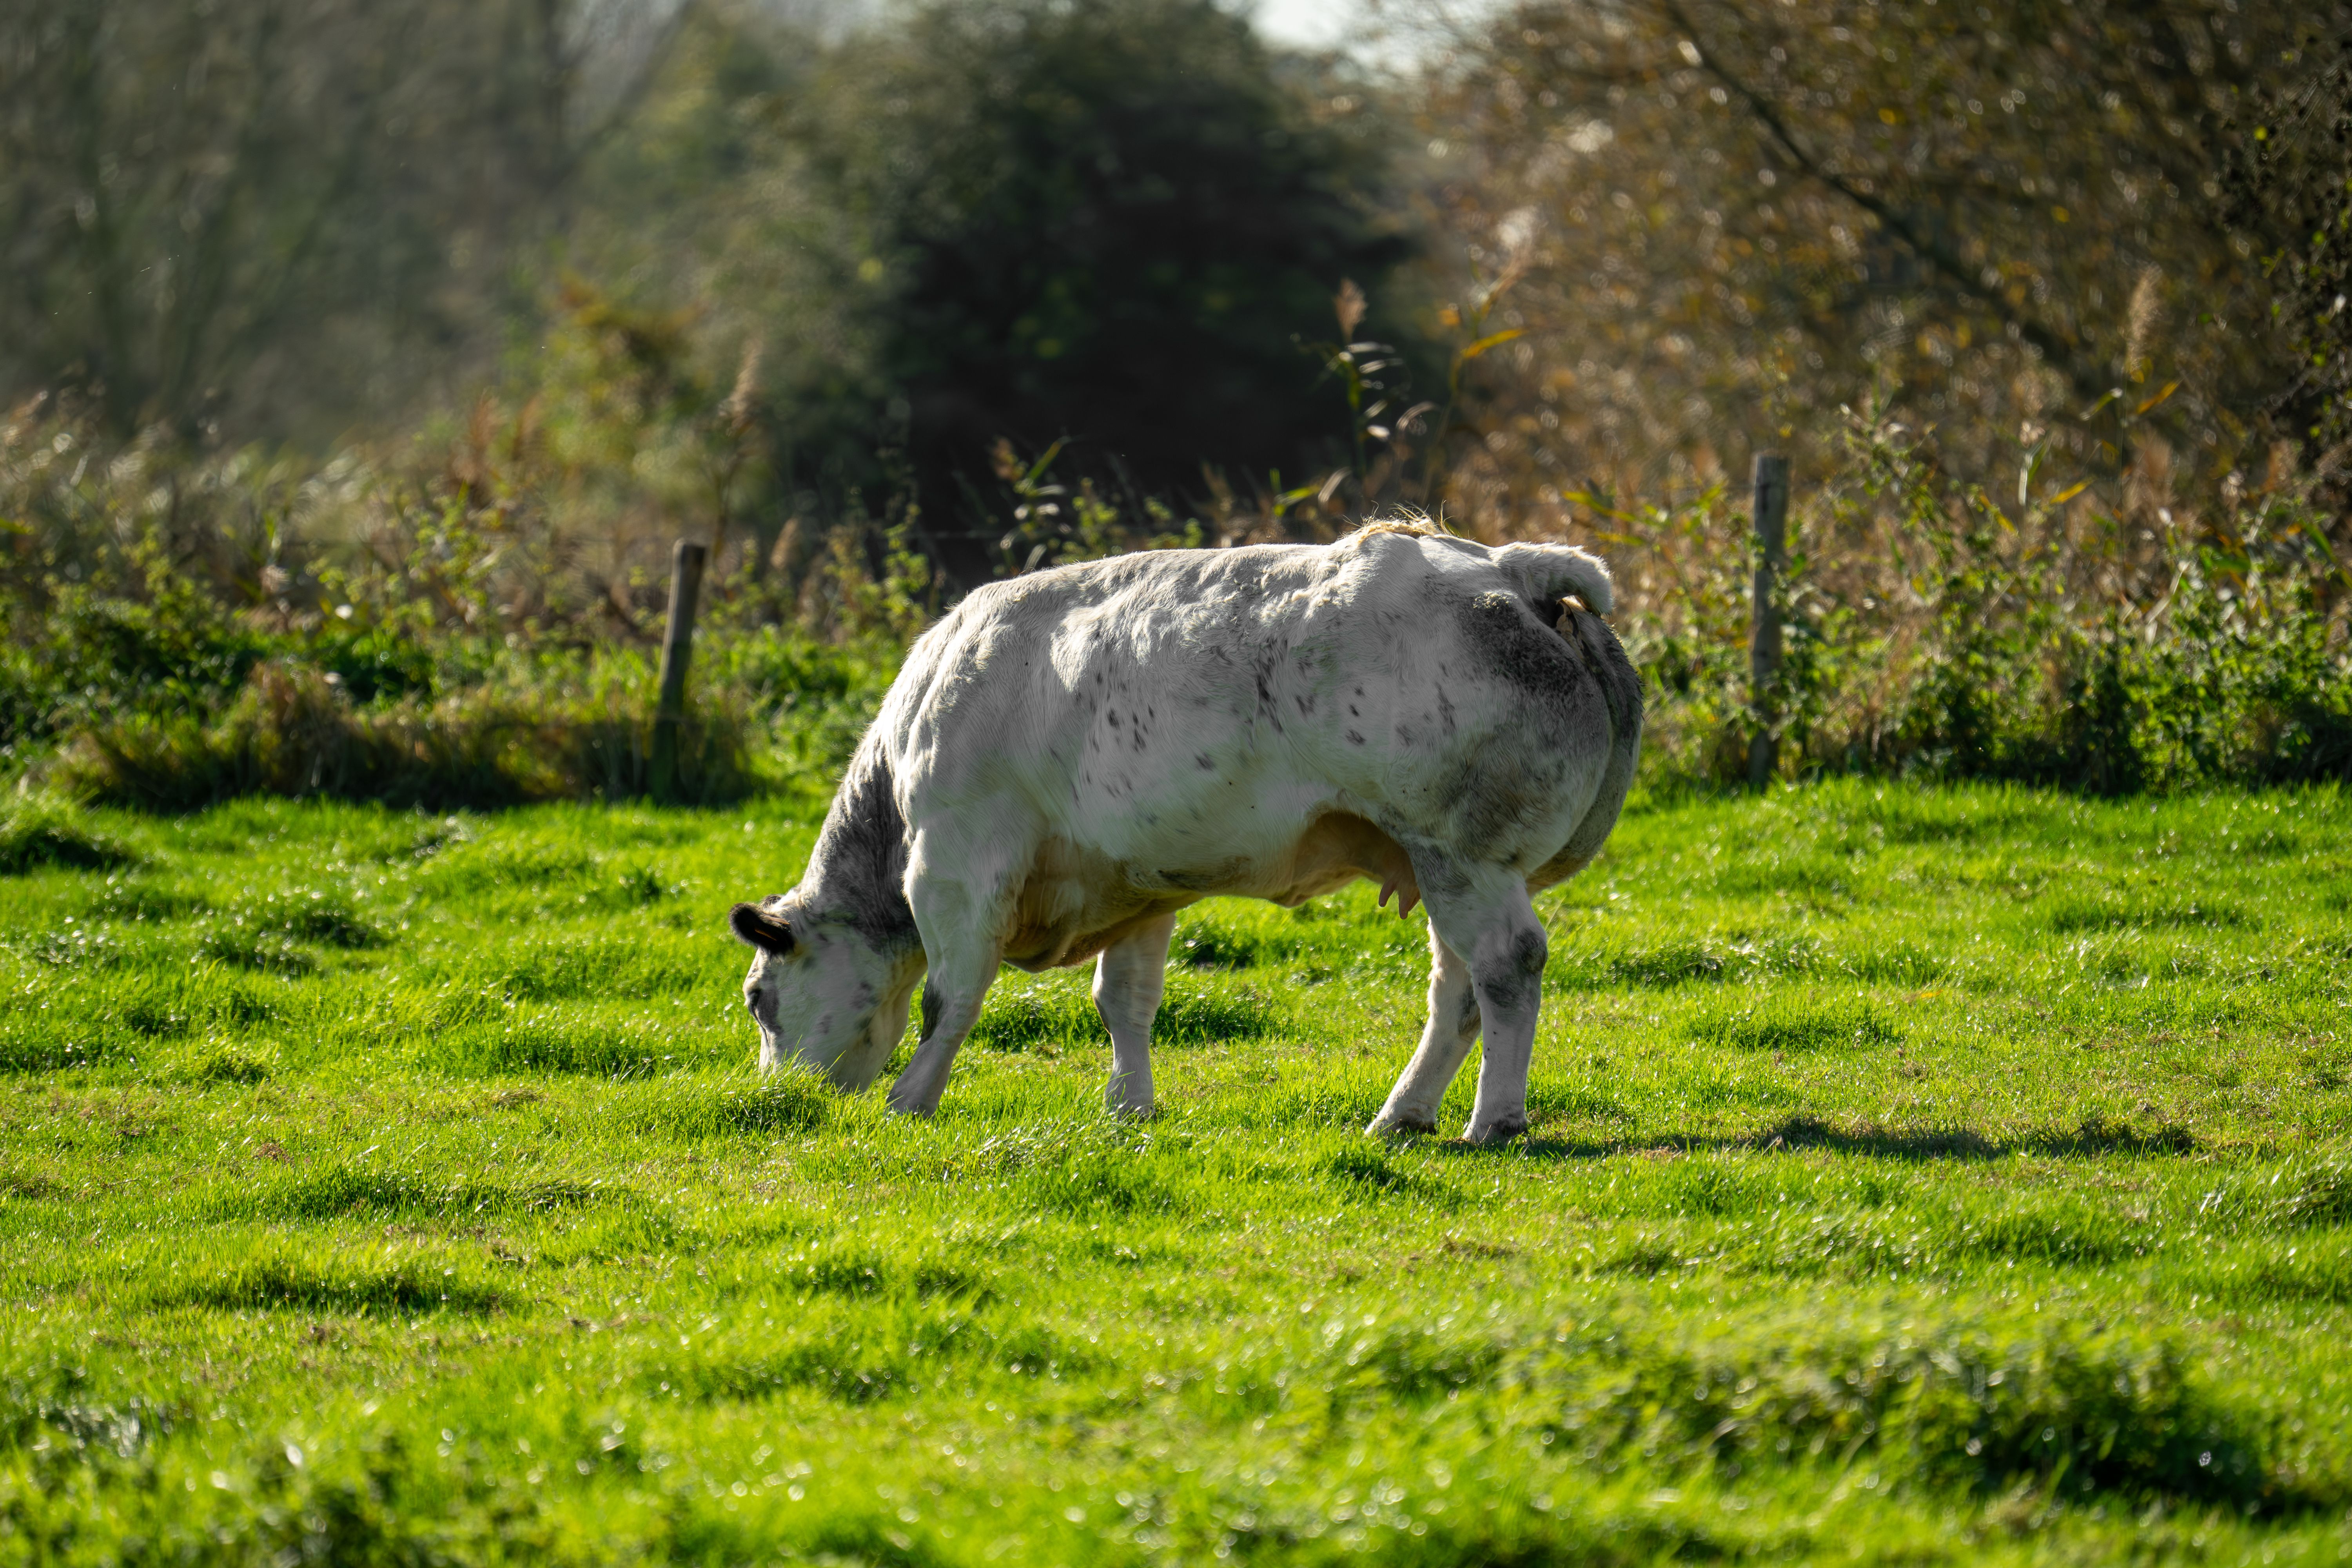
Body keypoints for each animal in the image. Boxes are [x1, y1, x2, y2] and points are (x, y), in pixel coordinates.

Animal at [728, 521, 1641, 1143]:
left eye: (758, 997)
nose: (781, 1098)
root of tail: (1509, 566)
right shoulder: (1138, 884)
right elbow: (1124, 1000)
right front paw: (1130, 1108)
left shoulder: (957, 863)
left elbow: (949, 996)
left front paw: (913, 1097)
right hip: (1441, 863)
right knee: (1456, 990)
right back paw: (1403, 1113)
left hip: (1464, 854)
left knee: (1505, 969)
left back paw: (1495, 1119)